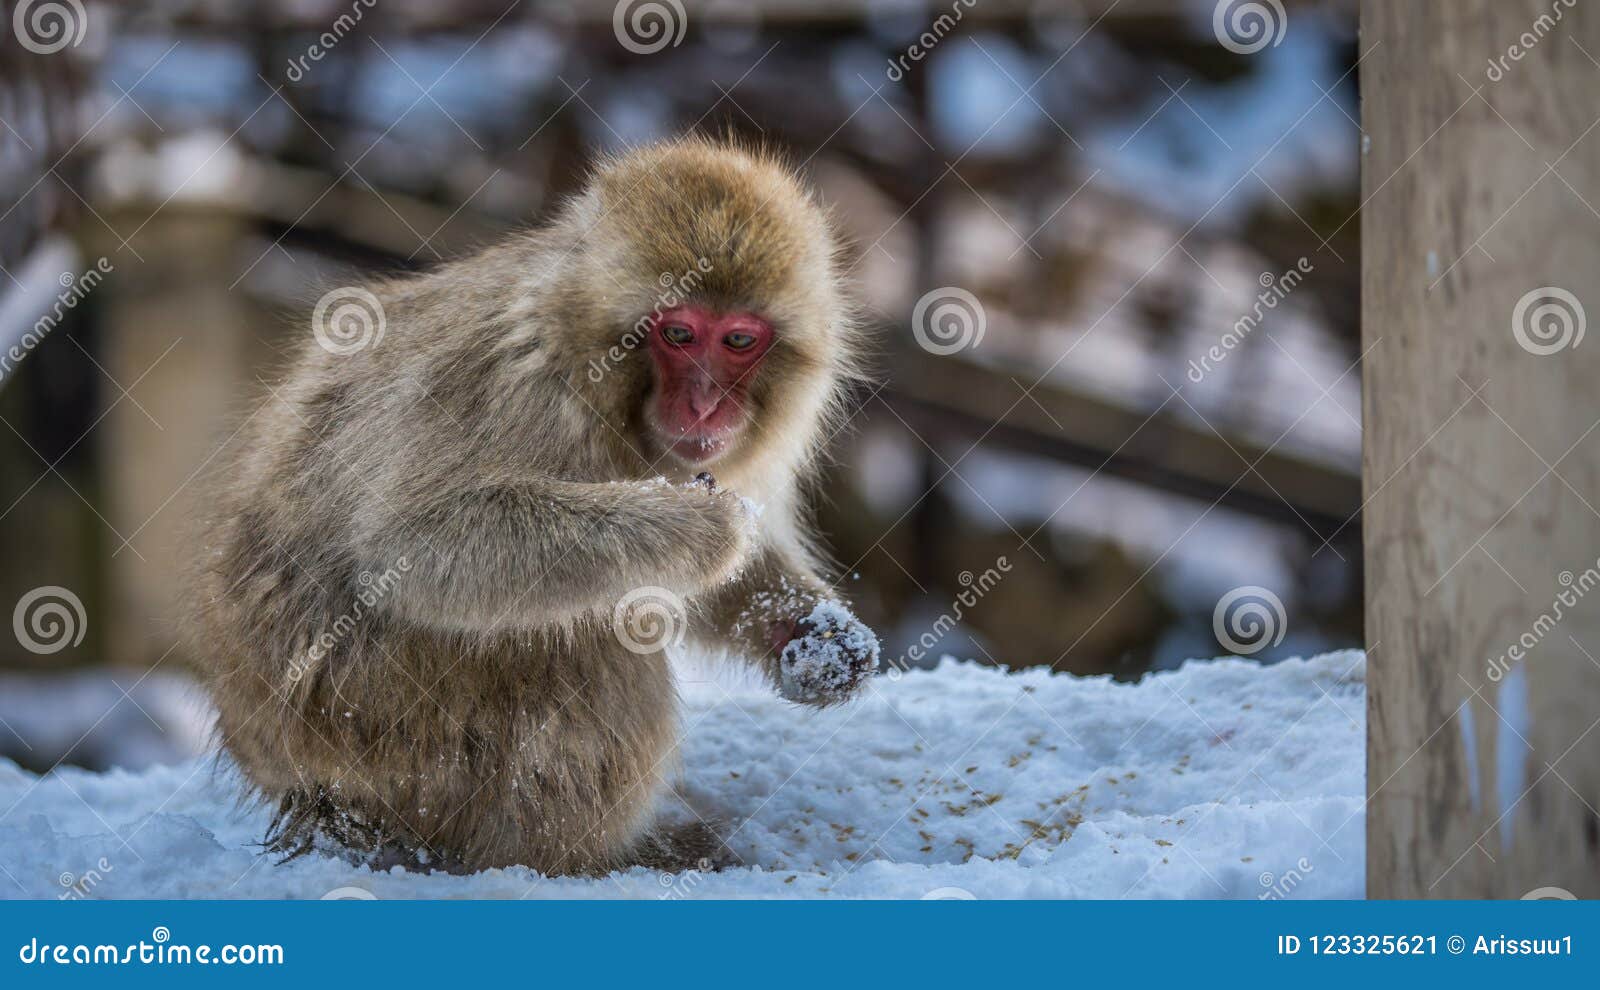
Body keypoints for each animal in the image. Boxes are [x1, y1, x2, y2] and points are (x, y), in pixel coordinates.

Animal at [185, 137, 880, 876]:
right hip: (380, 726)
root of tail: (292, 781)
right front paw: (697, 529)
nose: (704, 406)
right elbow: (410, 546)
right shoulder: (525, 383)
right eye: (679, 335)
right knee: (585, 644)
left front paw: (814, 636)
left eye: (739, 341)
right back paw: (579, 857)